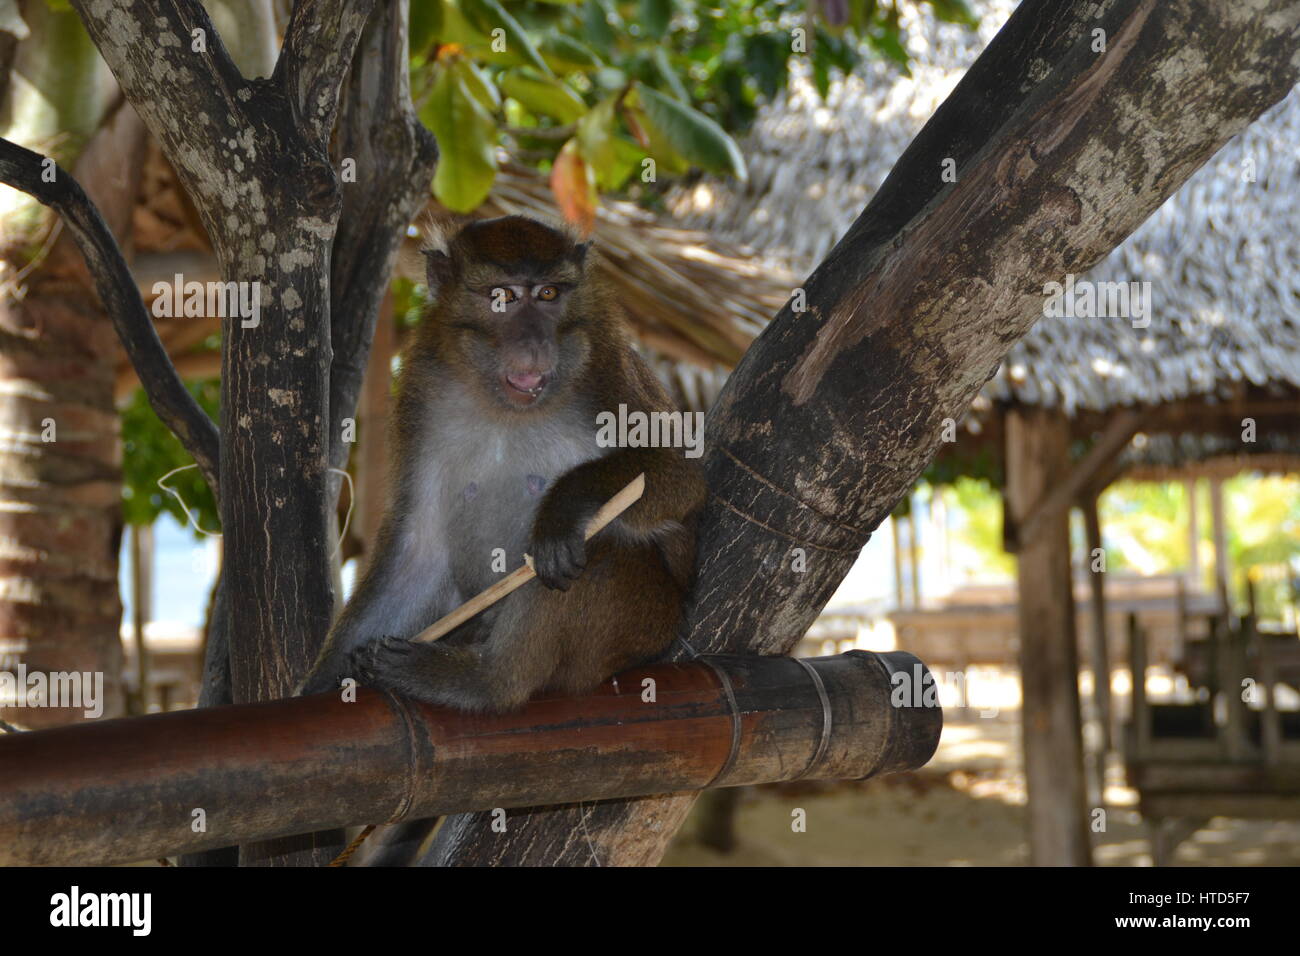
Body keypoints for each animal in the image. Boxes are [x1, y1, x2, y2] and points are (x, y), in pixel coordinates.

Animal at [297, 215, 707, 714]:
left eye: (548, 294)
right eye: (502, 297)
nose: (533, 342)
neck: (503, 404)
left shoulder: (606, 368)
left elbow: (680, 475)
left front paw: (563, 508)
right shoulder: (424, 386)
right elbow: (419, 546)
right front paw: (322, 683)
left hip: (642, 625)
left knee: (598, 548)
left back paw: (486, 682)